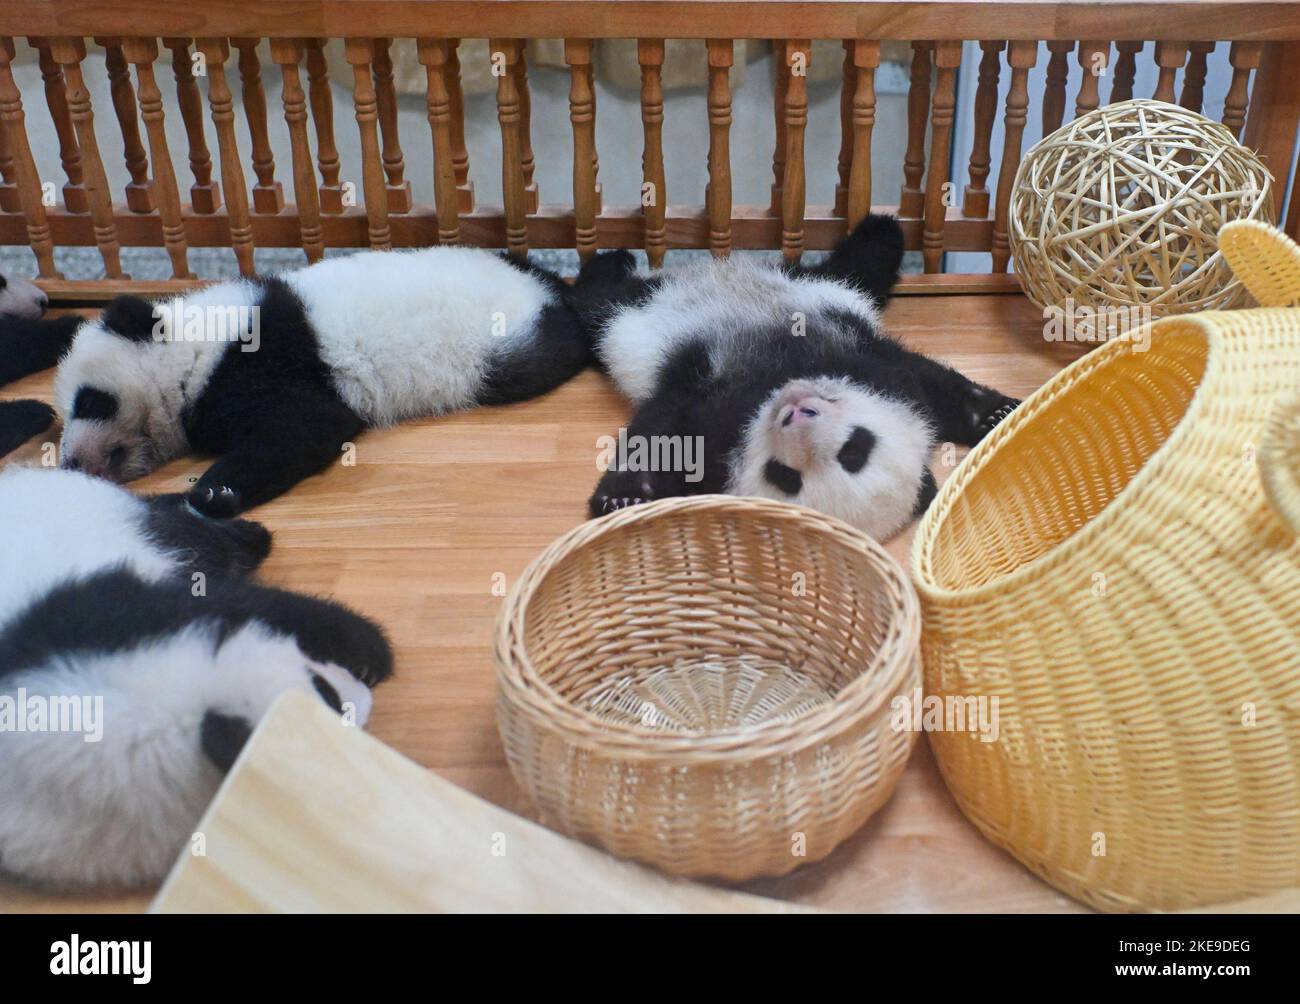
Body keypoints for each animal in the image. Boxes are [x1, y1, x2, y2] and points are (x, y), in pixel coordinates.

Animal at [0, 464, 393, 889]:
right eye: (328, 698)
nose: (364, 697)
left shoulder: (104, 611)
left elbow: (236, 603)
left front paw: (370, 648)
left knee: (196, 535)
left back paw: (234, 517)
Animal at [42, 247, 591, 516]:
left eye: (89, 402)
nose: (71, 463)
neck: (191, 348)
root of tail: (538, 282)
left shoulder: (255, 364)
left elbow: (309, 426)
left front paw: (214, 493)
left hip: (496, 342)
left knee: (543, 355)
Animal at [568, 214, 1021, 541]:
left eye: (784, 476)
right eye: (856, 448)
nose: (797, 413)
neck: (779, 380)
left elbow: (675, 421)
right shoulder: (873, 369)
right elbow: (929, 381)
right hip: (806, 286)